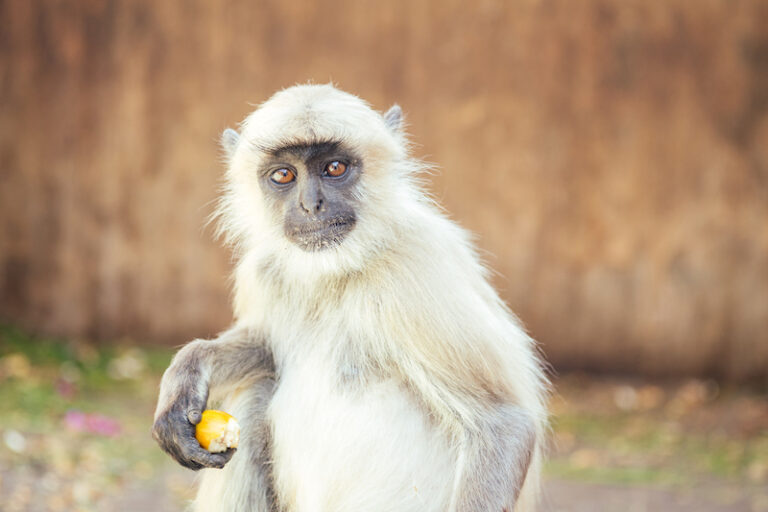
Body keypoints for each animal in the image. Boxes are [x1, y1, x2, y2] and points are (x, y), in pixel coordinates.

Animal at [152, 84, 549, 512]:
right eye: (283, 175)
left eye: (335, 168)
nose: (311, 205)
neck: (338, 269)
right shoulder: (265, 270)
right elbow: (265, 346)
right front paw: (187, 371)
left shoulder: (416, 268)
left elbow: (503, 422)